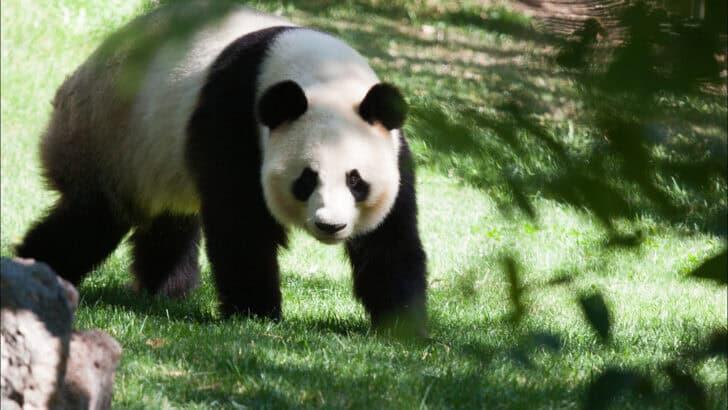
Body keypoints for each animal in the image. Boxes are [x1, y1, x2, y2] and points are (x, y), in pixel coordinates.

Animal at [17, 2, 427, 336]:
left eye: (356, 181)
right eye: (306, 180)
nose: (331, 225)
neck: (323, 77)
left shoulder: (390, 146)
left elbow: (390, 237)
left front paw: (403, 326)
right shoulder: (234, 117)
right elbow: (241, 222)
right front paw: (256, 313)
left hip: (158, 159)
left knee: (170, 225)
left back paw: (167, 290)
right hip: (106, 140)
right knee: (90, 221)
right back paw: (36, 270)